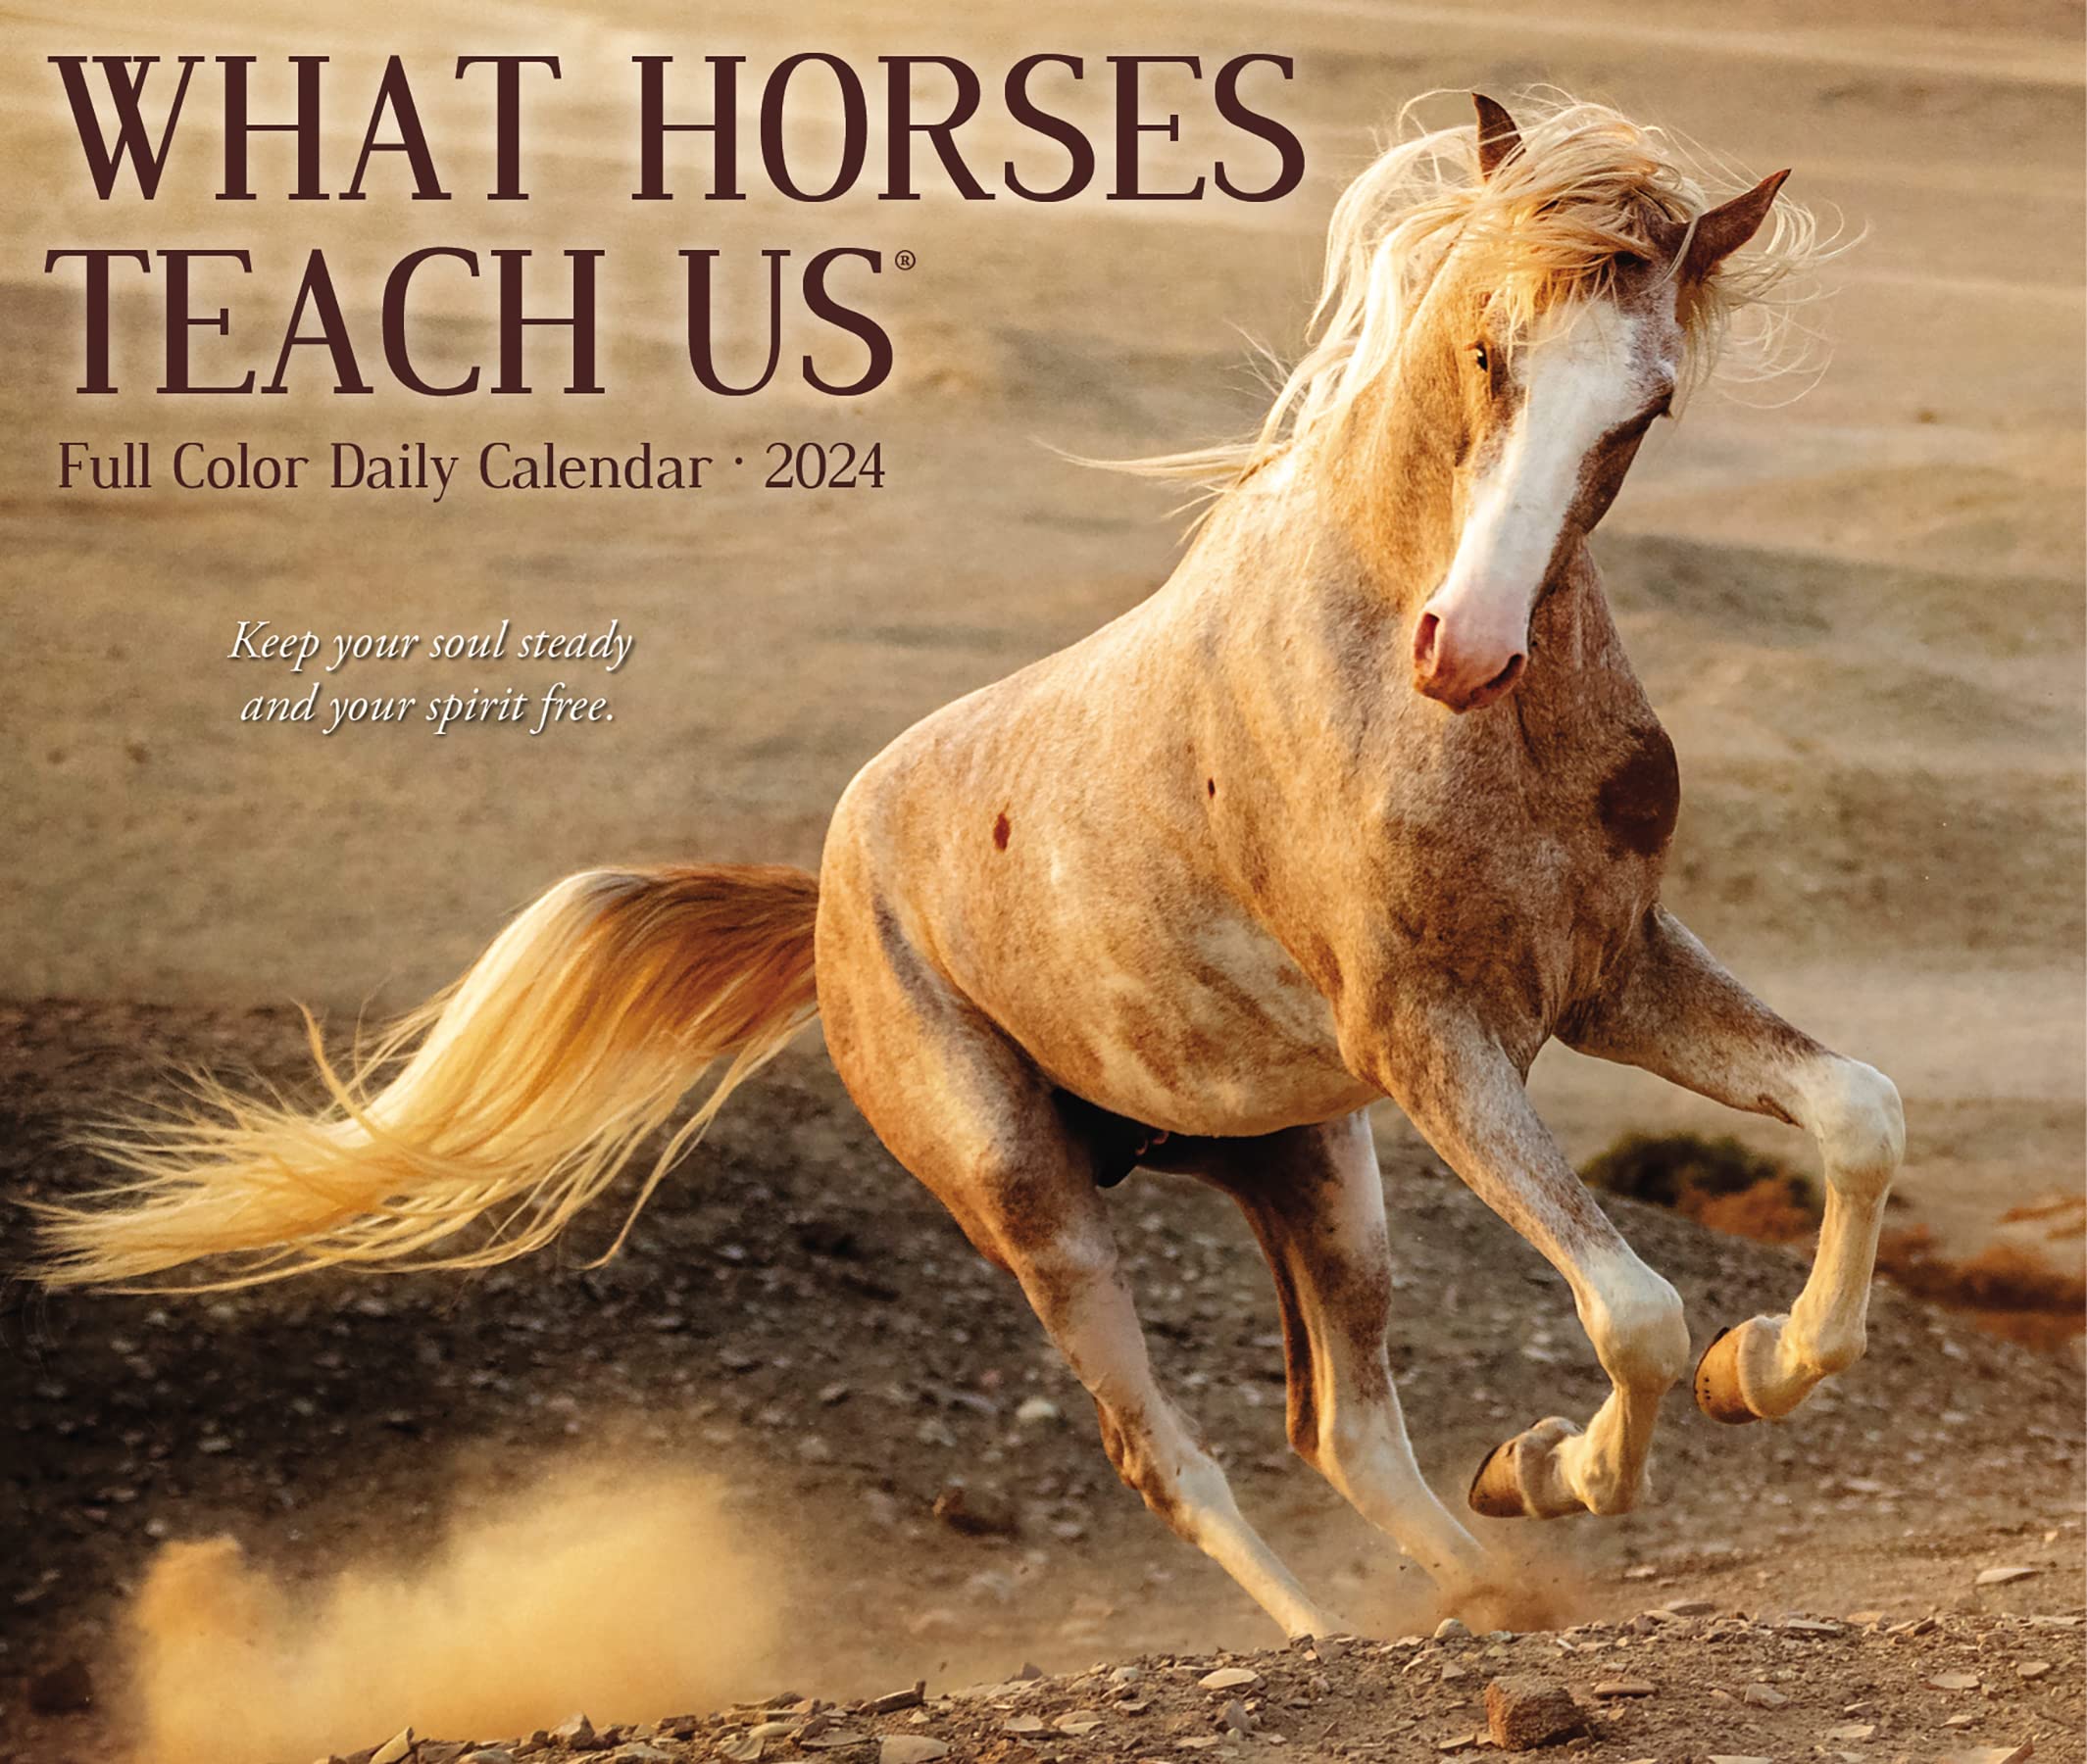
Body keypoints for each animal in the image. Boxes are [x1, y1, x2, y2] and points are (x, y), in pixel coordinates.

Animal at [38, 90, 1902, 1639]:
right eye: (1485, 348)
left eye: (1643, 404)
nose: (1469, 648)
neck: (1431, 710)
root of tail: (821, 900)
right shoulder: (1431, 1037)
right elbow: (1633, 1307)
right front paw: (1583, 1460)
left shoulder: (1604, 977)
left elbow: (1851, 1113)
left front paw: (1742, 1378)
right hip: (1035, 1204)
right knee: (1171, 1457)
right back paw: (1340, 1626)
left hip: (1300, 1161)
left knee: (1342, 1426)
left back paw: (1491, 1584)